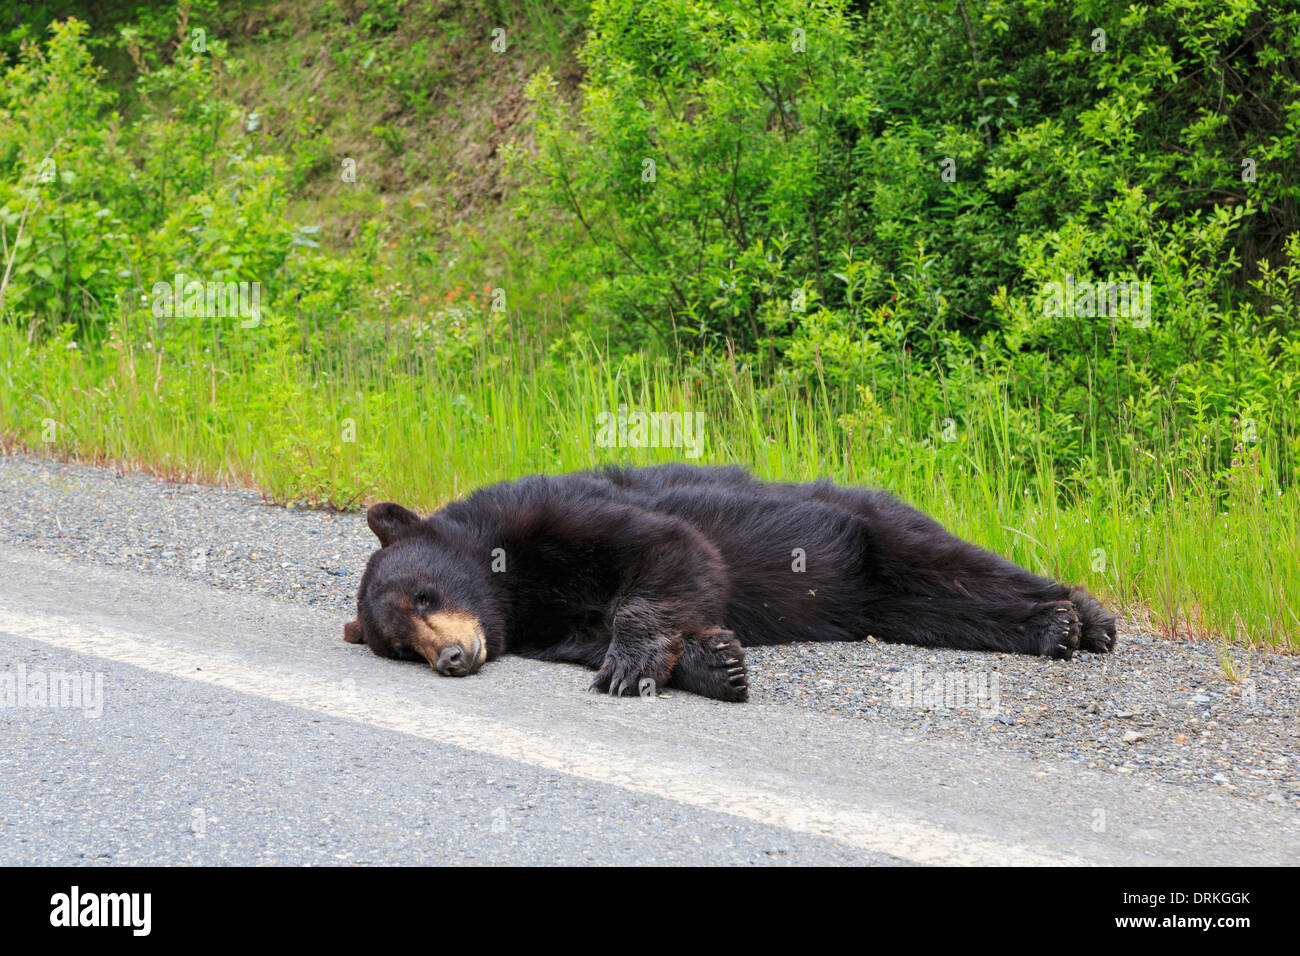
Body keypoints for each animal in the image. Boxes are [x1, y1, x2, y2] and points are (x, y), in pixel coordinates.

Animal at [343, 464, 1117, 702]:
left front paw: (630, 664)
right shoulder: (539, 623)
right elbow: (589, 633)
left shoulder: (552, 515)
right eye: (402, 644)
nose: (450, 656)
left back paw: (1079, 617)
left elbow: (671, 551)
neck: (512, 590)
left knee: (965, 566)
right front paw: (716, 664)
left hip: (877, 526)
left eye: (425, 595)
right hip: (890, 602)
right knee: (943, 609)